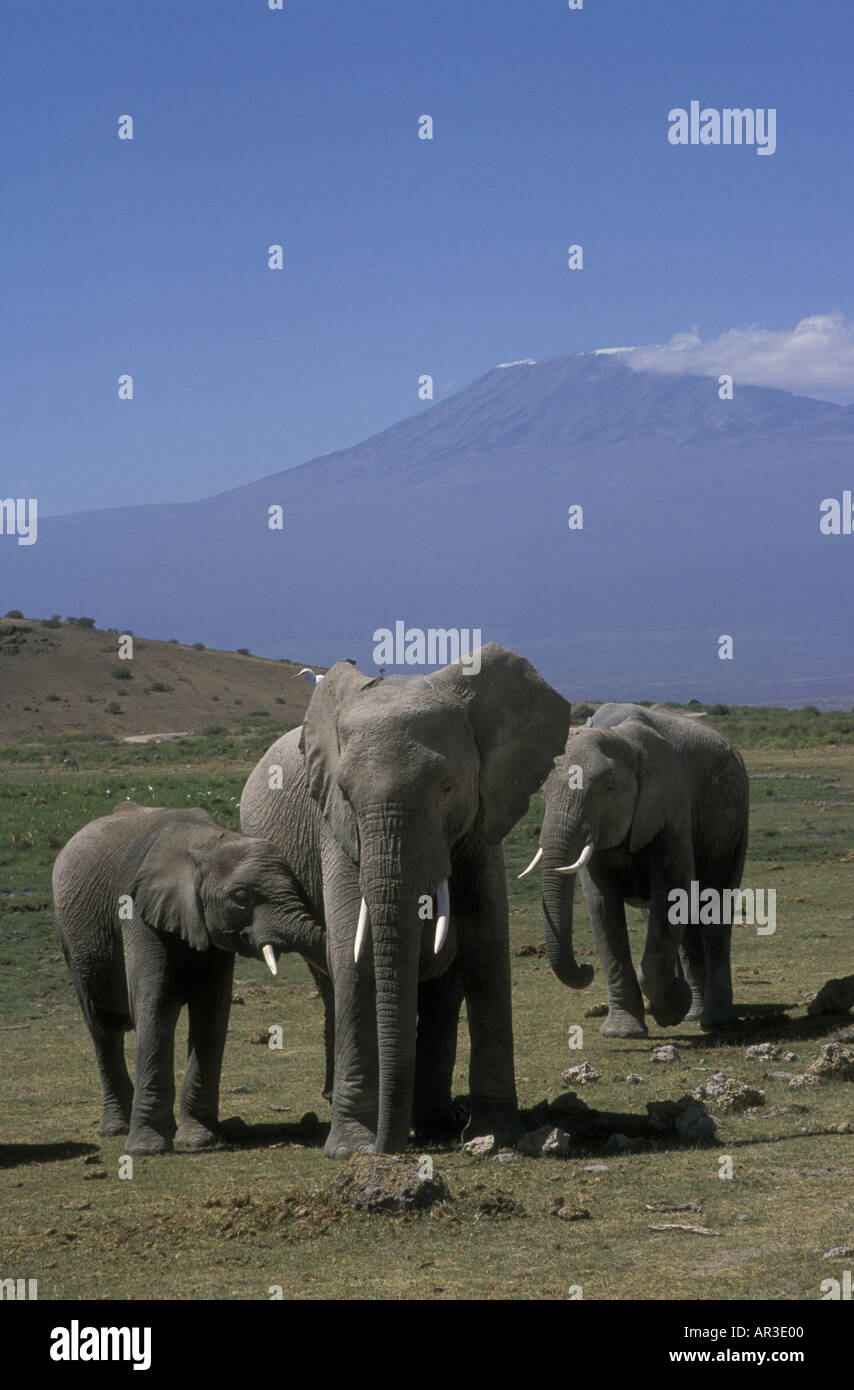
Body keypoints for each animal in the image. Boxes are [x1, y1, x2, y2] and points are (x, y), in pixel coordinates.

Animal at [53, 802, 324, 1155]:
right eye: (241, 897)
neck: (205, 846)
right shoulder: (137, 911)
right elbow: (154, 1007)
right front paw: (146, 1149)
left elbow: (212, 1012)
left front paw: (199, 1140)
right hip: (72, 943)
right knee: (102, 1028)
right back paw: (114, 1130)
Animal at [240, 643, 571, 1158]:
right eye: (346, 793)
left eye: (449, 788)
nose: (386, 1149)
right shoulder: (334, 824)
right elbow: (352, 955)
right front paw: (351, 1148)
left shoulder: (484, 815)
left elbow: (486, 947)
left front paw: (498, 1136)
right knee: (332, 976)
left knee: (443, 982)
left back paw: (434, 1120)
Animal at [519, 702, 749, 1036]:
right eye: (543, 792)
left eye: (608, 788)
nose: (585, 968)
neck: (618, 735)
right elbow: (602, 906)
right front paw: (624, 1031)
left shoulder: (672, 805)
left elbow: (673, 888)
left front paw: (669, 1012)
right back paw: (692, 1012)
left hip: (734, 825)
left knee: (716, 909)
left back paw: (714, 1020)